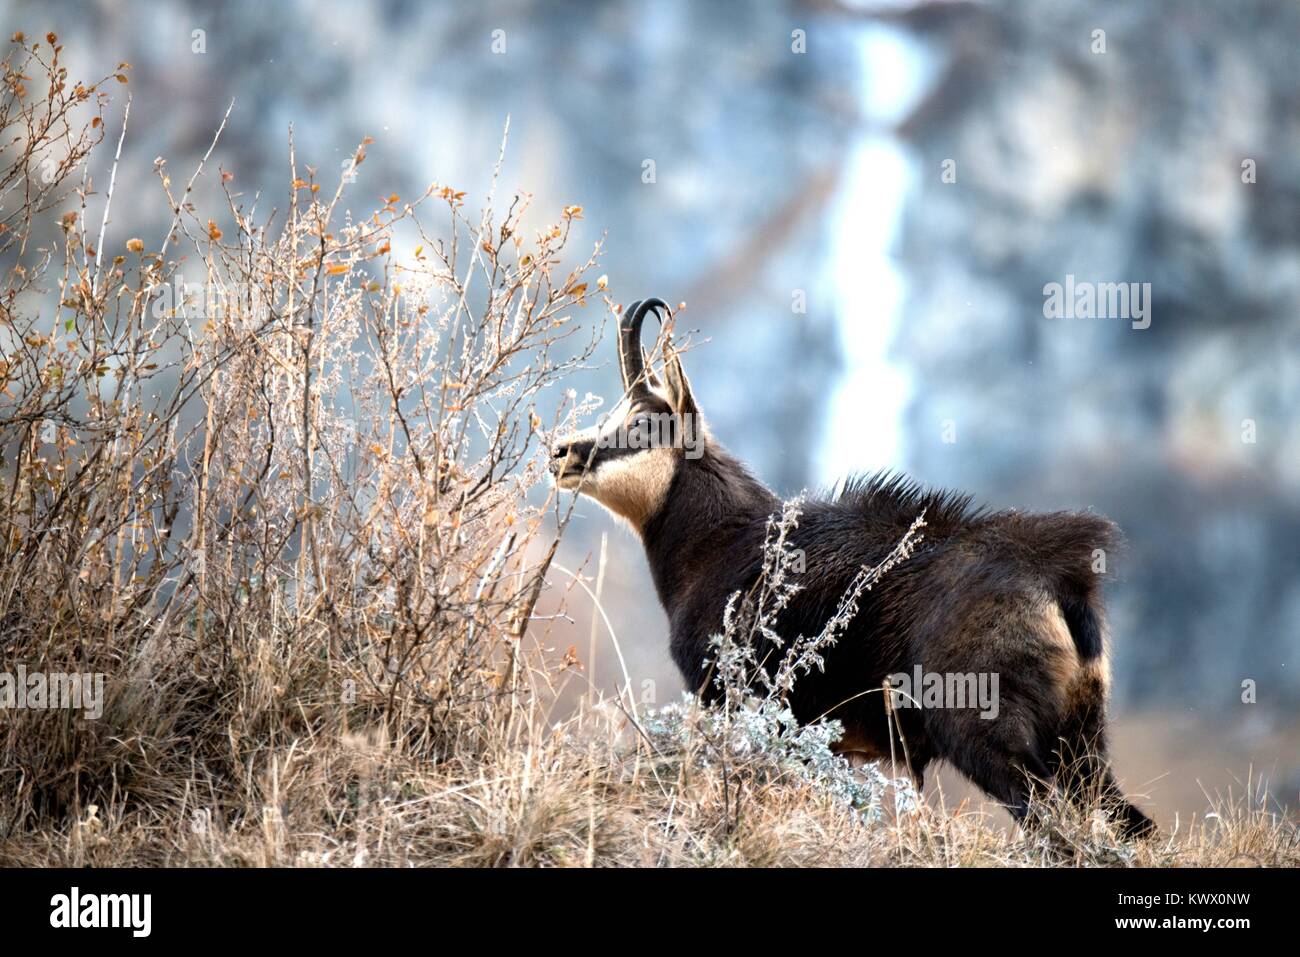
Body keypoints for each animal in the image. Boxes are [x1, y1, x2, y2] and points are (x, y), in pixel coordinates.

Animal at [551, 298, 1155, 838]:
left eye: (642, 423)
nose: (561, 452)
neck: (721, 541)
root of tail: (1061, 578)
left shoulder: (746, 704)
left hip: (986, 731)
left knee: (1051, 824)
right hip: (1081, 741)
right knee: (1128, 824)